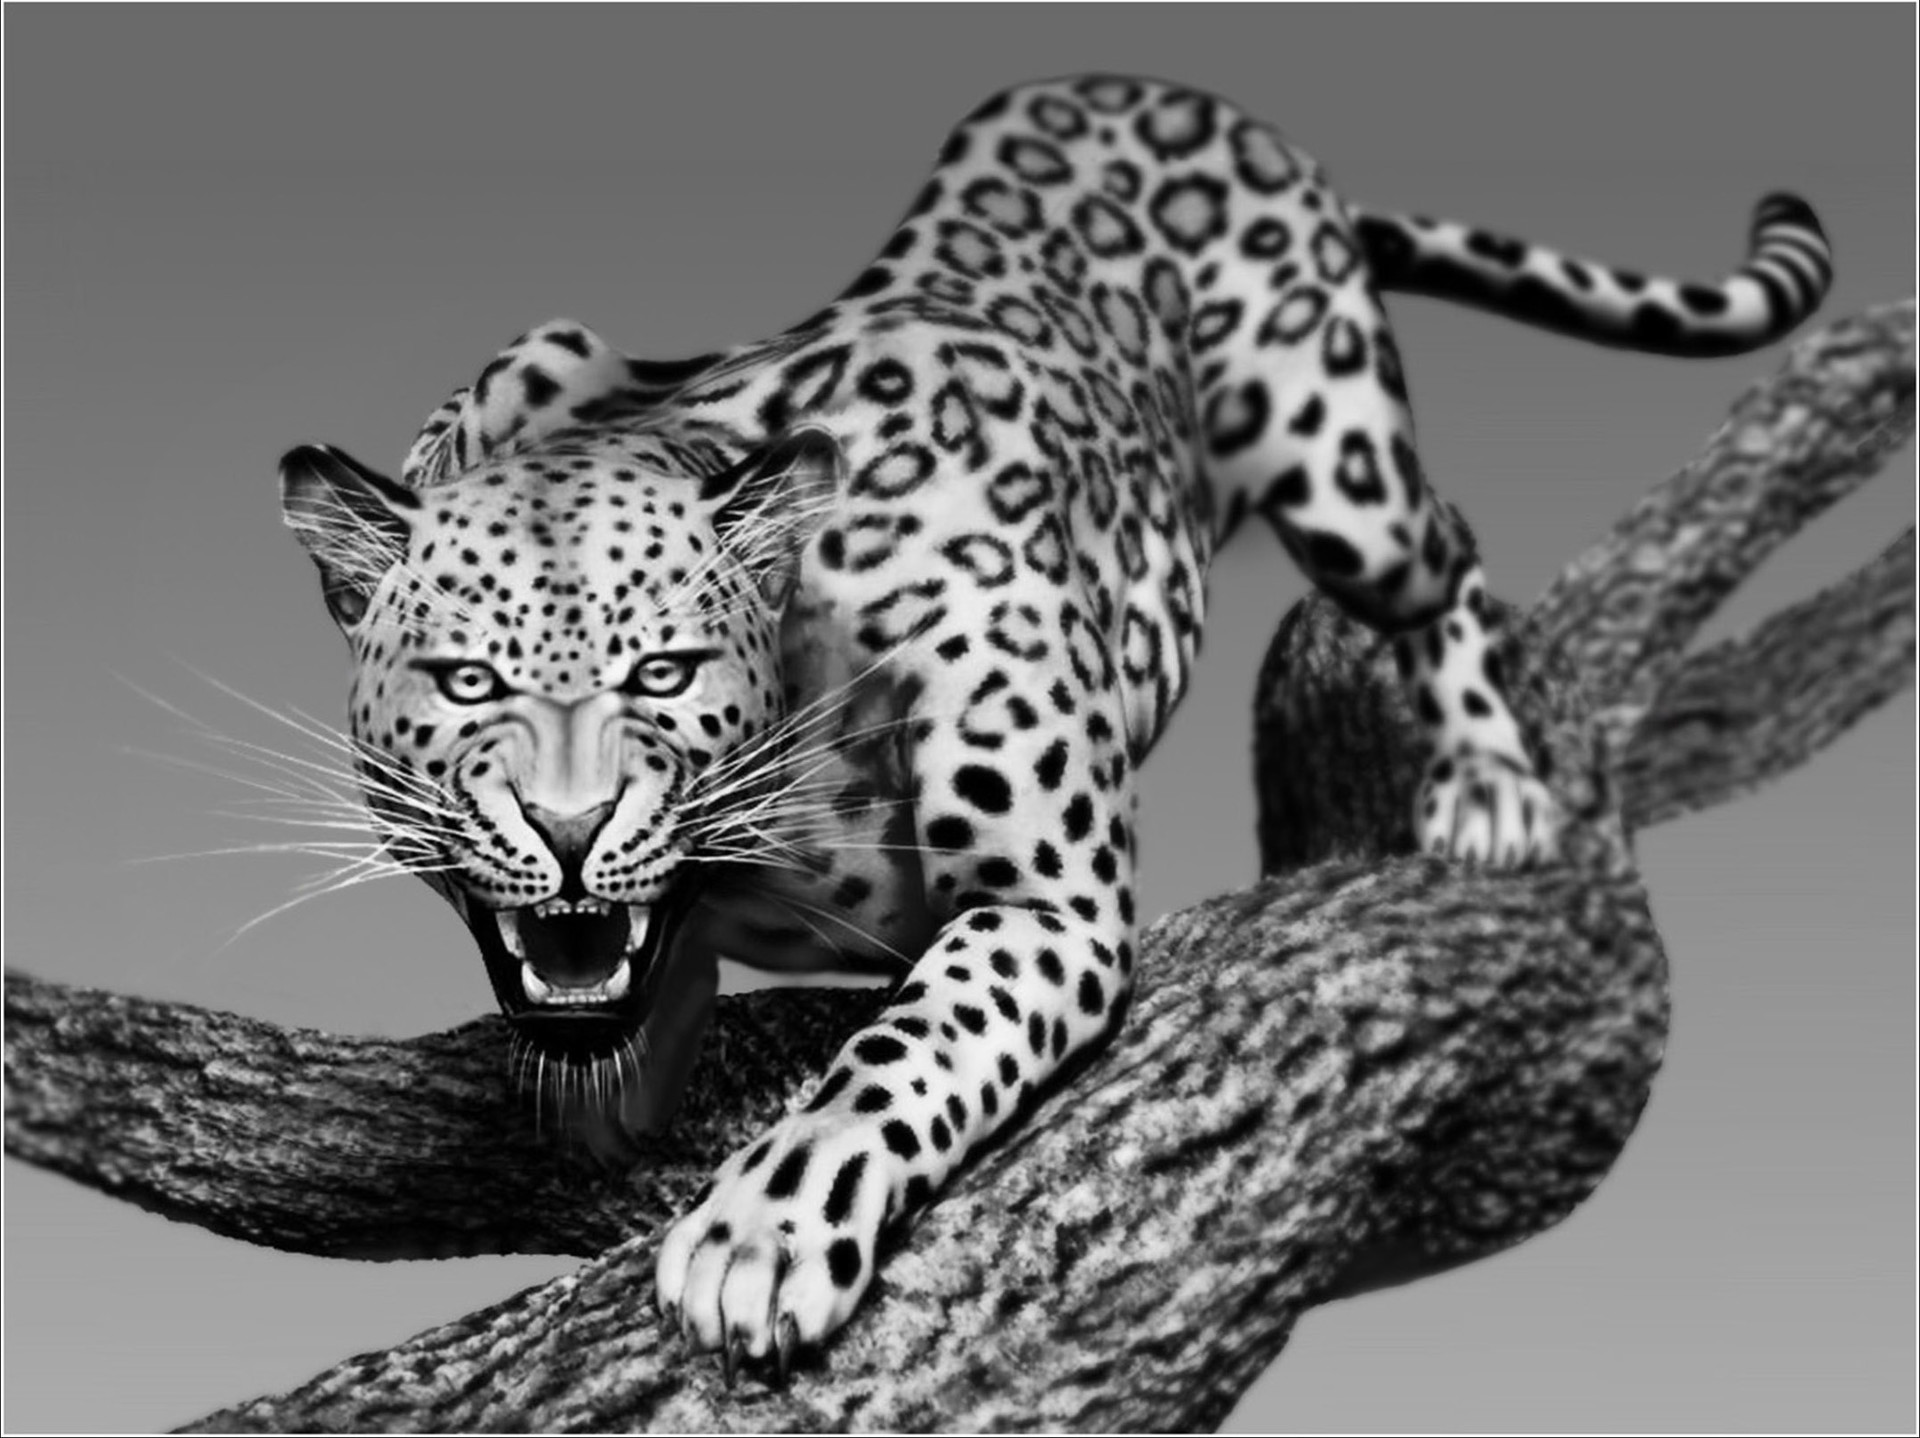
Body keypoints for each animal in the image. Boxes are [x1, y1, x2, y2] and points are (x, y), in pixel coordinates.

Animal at [278, 75, 1831, 1379]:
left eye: (661, 676)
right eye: (466, 683)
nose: (568, 827)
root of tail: (1194, 93)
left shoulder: (1048, 904)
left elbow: (900, 1047)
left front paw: (760, 1235)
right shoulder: (563, 361)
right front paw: (626, 1072)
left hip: (1346, 479)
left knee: (1442, 544)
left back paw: (1490, 785)